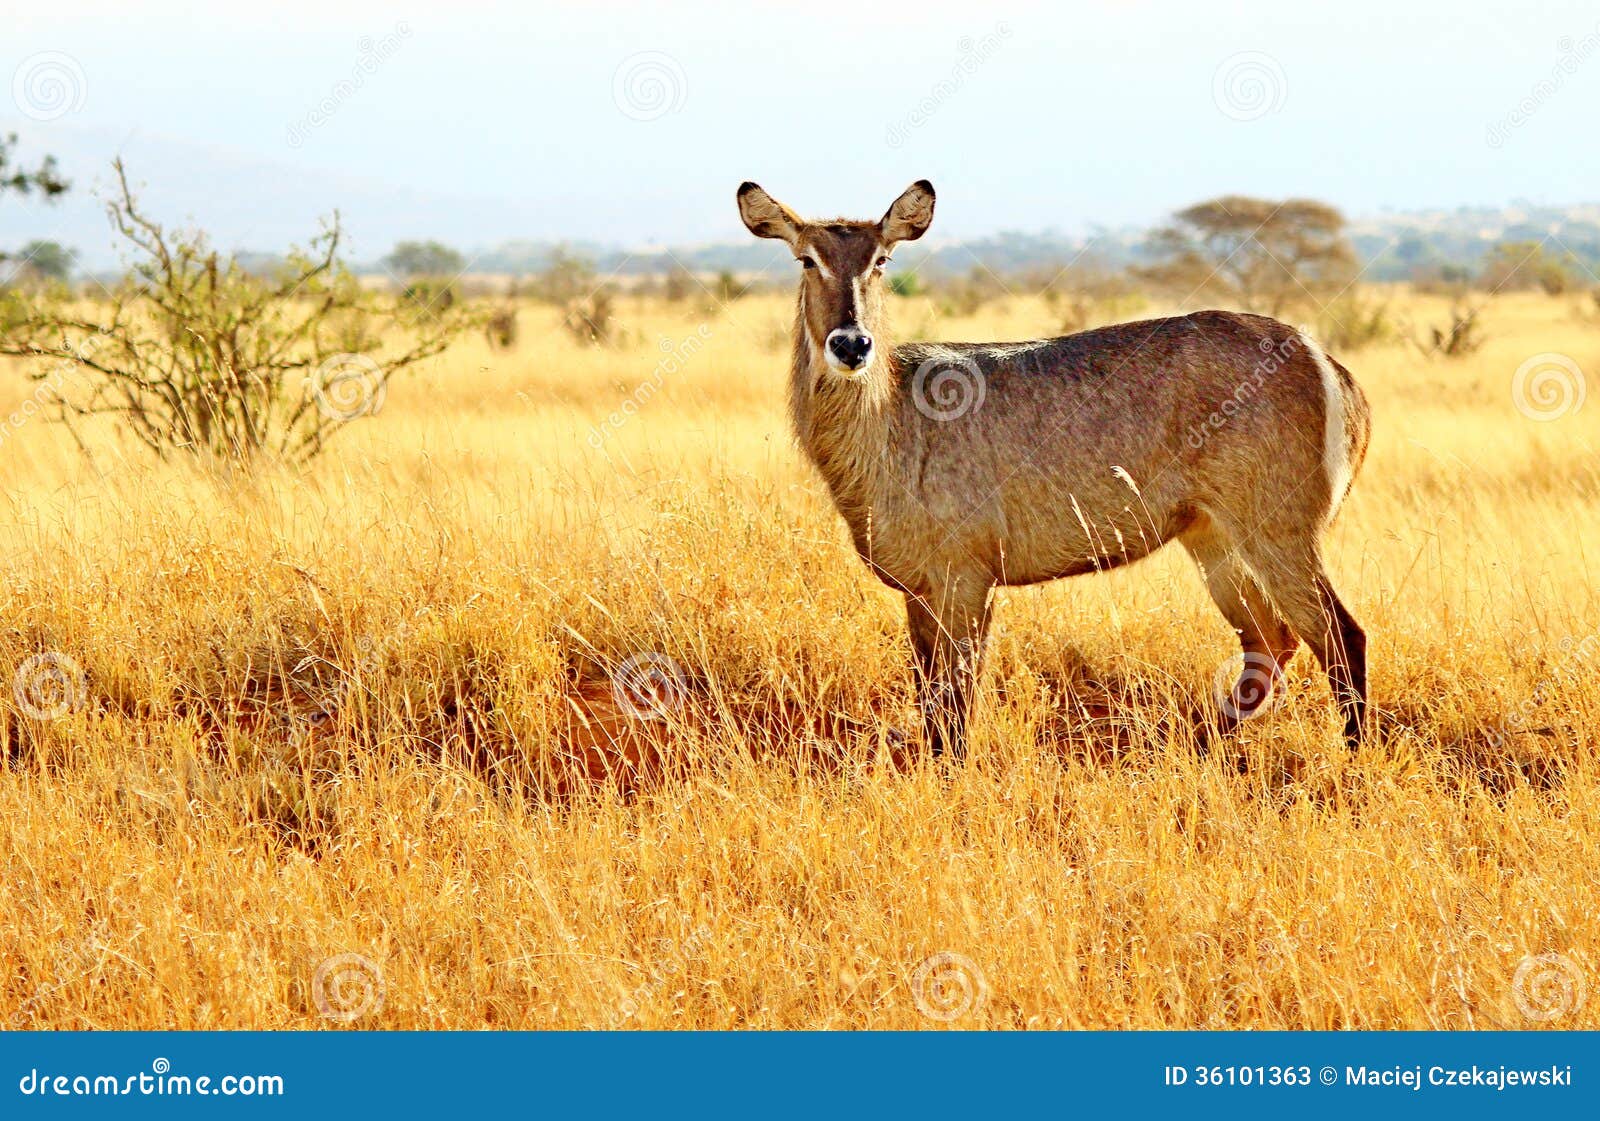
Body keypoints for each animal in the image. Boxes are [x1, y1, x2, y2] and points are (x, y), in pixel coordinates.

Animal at [737, 180, 1371, 759]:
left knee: (1341, 636)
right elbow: (931, 702)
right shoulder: (918, 592)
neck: (889, 414)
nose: (851, 345)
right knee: (1270, 641)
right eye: (806, 258)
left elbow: (956, 710)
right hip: (1212, 538)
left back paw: (1349, 760)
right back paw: (1196, 745)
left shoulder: (966, 580)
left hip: (1278, 531)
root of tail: (1326, 361)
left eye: (882, 259)